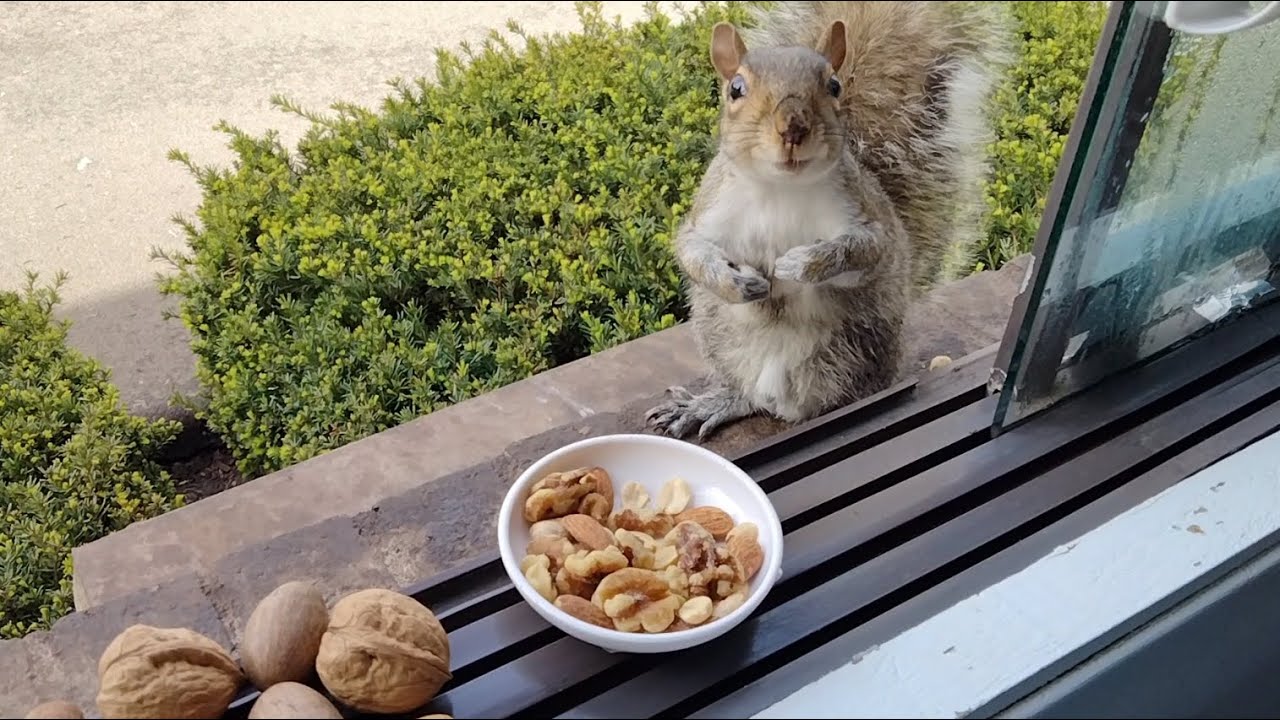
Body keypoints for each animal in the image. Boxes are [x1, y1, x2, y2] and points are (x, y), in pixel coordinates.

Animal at [646, 1, 1013, 440]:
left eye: (834, 86)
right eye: (735, 89)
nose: (793, 126)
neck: (781, 188)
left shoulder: (865, 215)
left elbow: (866, 250)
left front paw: (804, 263)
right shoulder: (712, 206)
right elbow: (691, 250)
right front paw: (733, 280)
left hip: (850, 353)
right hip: (723, 339)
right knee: (751, 396)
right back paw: (713, 403)